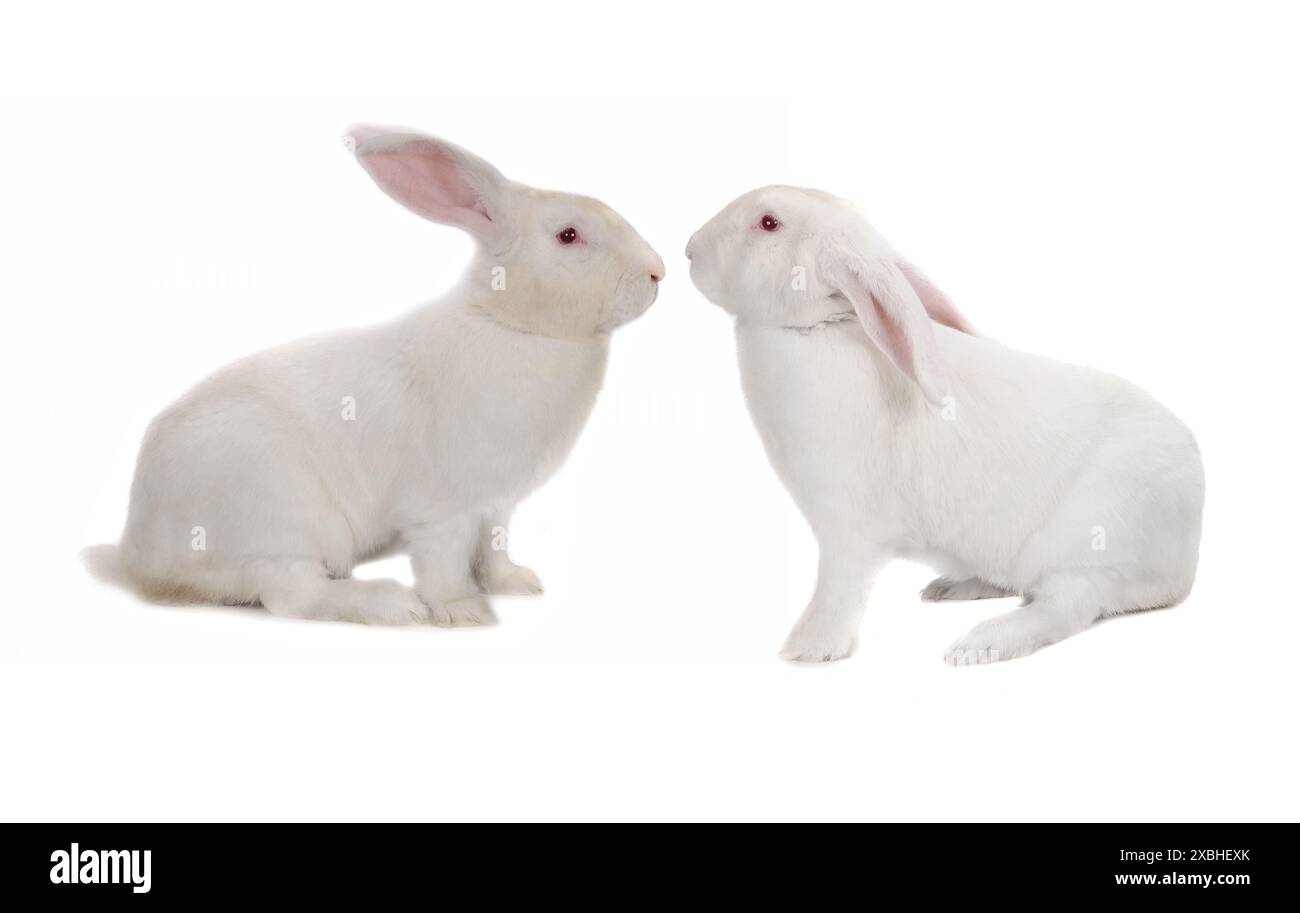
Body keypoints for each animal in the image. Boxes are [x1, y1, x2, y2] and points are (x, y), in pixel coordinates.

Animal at [86, 125, 665, 626]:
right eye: (568, 235)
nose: (658, 272)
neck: (510, 323)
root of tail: (140, 557)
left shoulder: (495, 506)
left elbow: (494, 549)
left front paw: (517, 583)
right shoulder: (442, 509)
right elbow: (443, 563)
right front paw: (463, 612)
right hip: (287, 521)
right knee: (292, 596)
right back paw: (391, 604)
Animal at [686, 186, 1203, 664]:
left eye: (769, 223)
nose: (689, 250)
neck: (821, 326)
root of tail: (1186, 561)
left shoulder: (847, 527)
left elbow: (838, 586)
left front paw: (806, 649)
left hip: (1088, 545)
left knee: (1065, 605)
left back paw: (979, 644)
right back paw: (951, 588)